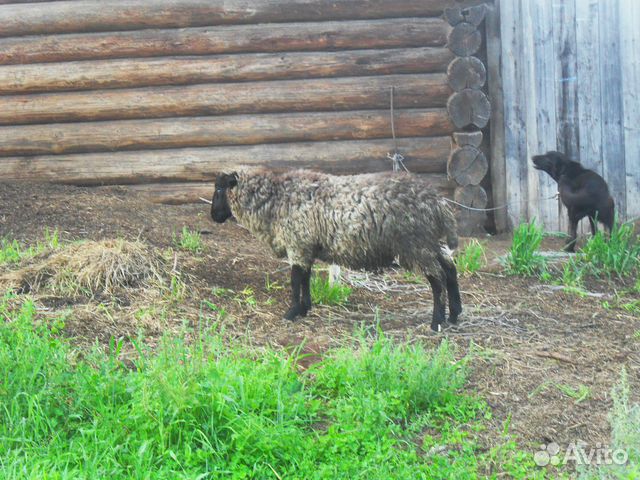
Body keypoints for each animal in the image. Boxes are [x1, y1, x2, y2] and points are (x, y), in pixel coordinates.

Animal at [211, 168, 461, 332]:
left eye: (220, 189)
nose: (213, 216)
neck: (276, 198)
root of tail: (438, 202)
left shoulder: (298, 243)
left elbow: (295, 280)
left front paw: (291, 312)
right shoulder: (306, 246)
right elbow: (305, 278)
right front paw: (305, 308)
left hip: (416, 245)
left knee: (437, 278)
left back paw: (437, 322)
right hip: (429, 242)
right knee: (450, 269)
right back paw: (455, 315)